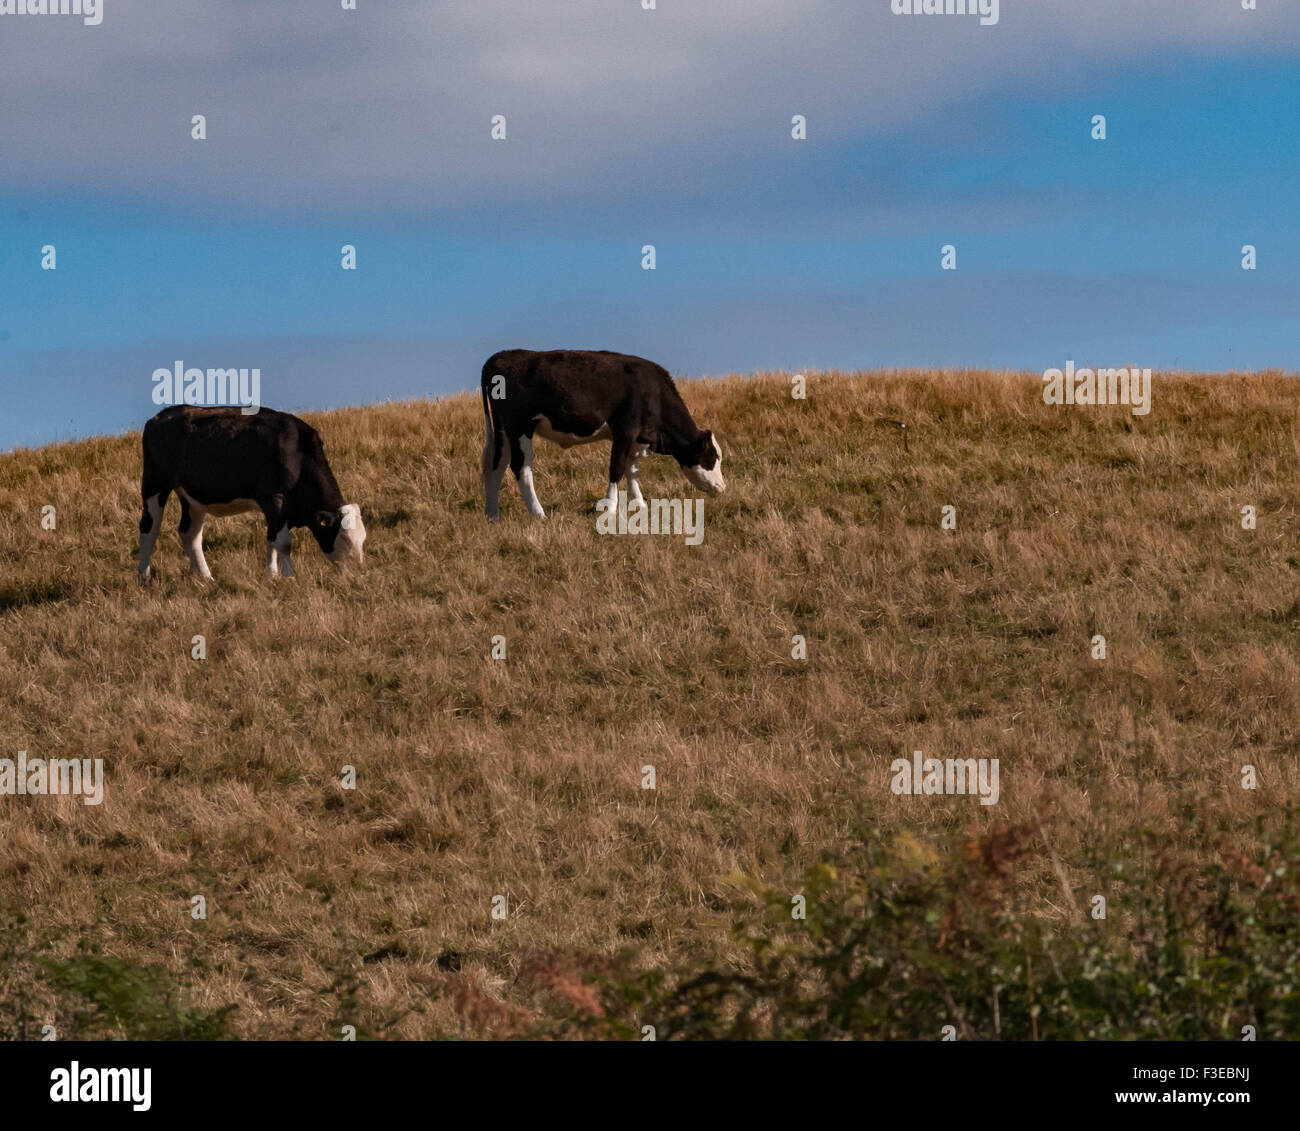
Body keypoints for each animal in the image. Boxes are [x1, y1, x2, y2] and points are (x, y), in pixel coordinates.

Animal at [136, 405, 366, 584]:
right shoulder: (274, 498)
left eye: (363, 539)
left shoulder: (279, 510)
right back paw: (144, 577)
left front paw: (272, 575)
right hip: (154, 484)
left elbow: (271, 539)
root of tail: (160, 416)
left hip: (193, 498)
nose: (357, 573)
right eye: (344, 538)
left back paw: (206, 577)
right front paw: (290, 576)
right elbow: (283, 542)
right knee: (149, 528)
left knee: (190, 534)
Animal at [479, 349, 725, 520]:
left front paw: (640, 504)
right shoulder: (625, 431)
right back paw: (538, 513)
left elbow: (632, 471)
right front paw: (611, 508)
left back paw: (493, 515)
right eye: (713, 457)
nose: (723, 488)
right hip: (520, 428)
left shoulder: (636, 438)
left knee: (496, 467)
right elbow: (616, 469)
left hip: (502, 431)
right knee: (521, 468)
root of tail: (502, 355)